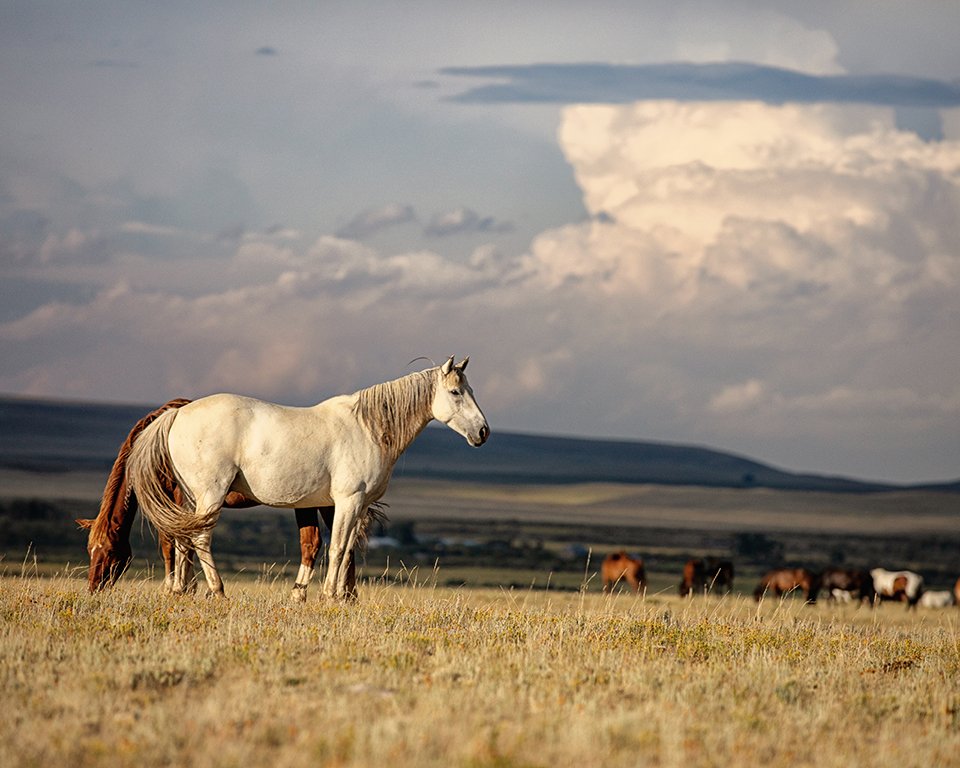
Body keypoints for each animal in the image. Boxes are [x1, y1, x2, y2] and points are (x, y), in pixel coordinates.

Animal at [76, 399, 352, 600]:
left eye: (110, 551)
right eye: (90, 550)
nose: (93, 588)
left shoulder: (175, 498)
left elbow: (173, 540)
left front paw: (177, 588)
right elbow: (179, 540)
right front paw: (184, 587)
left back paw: (343, 594)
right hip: (308, 504)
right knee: (320, 542)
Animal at [127, 357, 489, 600]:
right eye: (456, 392)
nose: (483, 432)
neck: (368, 428)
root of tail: (177, 414)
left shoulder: (357, 506)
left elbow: (347, 548)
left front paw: (341, 596)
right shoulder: (347, 500)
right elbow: (338, 547)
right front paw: (329, 595)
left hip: (190, 498)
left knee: (183, 538)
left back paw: (182, 590)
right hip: (210, 494)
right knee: (201, 538)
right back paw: (218, 591)